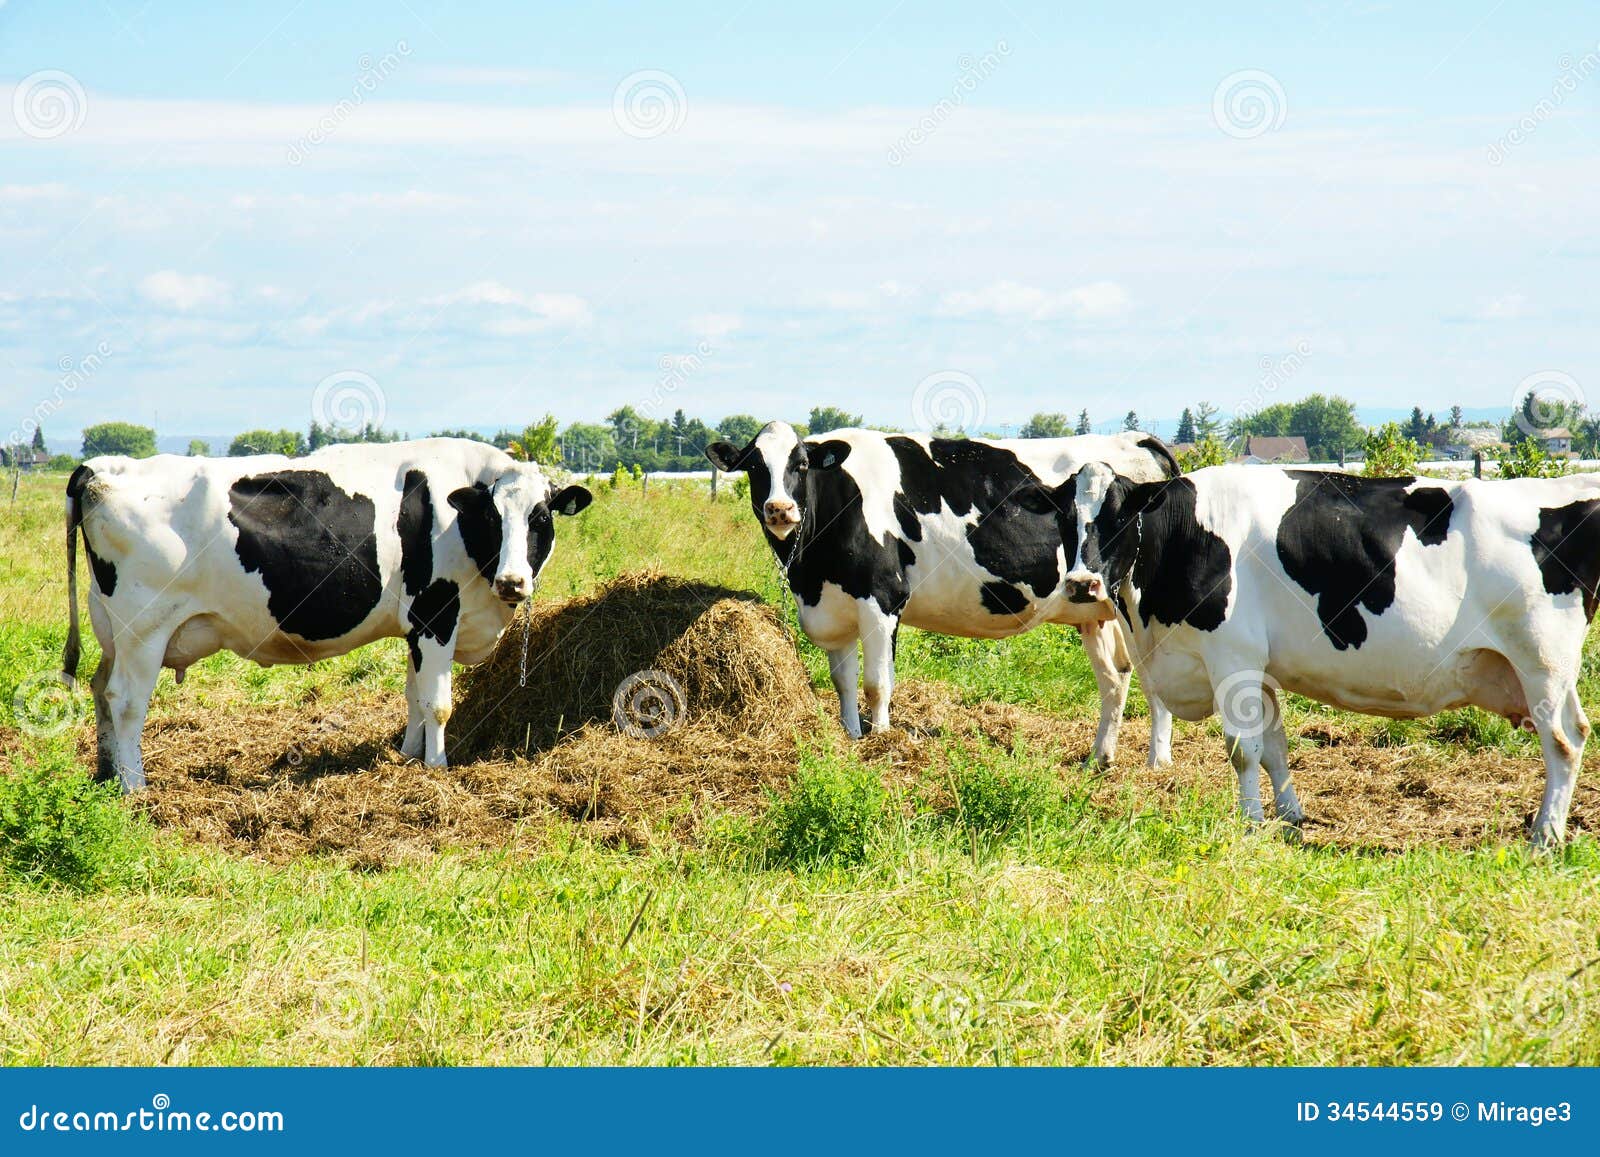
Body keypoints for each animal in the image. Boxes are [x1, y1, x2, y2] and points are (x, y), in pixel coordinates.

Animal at [60, 438, 592, 791]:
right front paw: (436, 771)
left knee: (100, 691)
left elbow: (414, 696)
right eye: (491, 517)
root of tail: (104, 467)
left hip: (112, 627)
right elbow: (438, 703)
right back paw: (135, 788)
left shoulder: (416, 628)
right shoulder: (436, 612)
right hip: (144, 628)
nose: (512, 582)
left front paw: (406, 757)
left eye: (541, 518)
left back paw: (106, 775)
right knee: (126, 700)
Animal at [705, 422, 1178, 765]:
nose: (780, 509)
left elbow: (877, 683)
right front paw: (853, 736)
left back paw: (1157, 762)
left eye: (801, 465)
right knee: (1115, 677)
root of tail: (1134, 437)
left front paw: (882, 740)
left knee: (1154, 679)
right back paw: (1099, 758)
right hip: (1095, 610)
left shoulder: (882, 599)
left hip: (1139, 605)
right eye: (754, 466)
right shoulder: (833, 610)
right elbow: (844, 683)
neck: (809, 571)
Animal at [1045, 461, 1600, 847]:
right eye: (1067, 521)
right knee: (1575, 732)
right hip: (1549, 670)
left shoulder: (1233, 658)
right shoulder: (1261, 670)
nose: (1080, 582)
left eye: (1119, 517)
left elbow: (1242, 750)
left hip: (1542, 660)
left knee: (1563, 742)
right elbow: (1274, 747)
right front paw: (1291, 820)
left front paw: (1250, 827)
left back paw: (1544, 837)